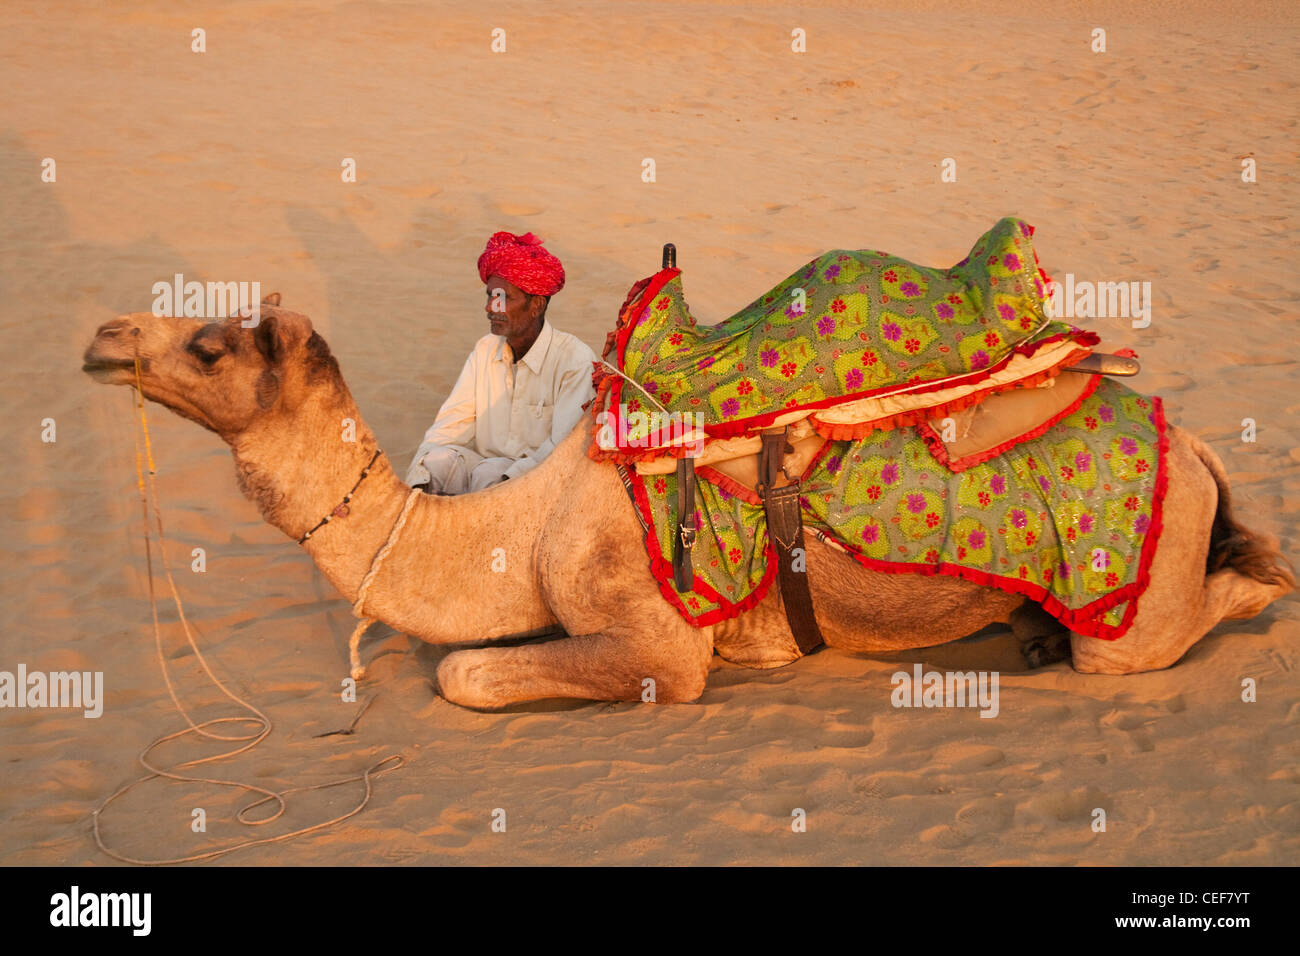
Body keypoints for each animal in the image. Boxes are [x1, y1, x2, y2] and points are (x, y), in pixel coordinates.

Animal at [81, 297, 1294, 709]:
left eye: (208, 343)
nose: (103, 336)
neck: (521, 522)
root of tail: (1189, 445)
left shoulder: (655, 637)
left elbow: (465, 673)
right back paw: (1026, 637)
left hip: (1135, 598)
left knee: (1203, 604)